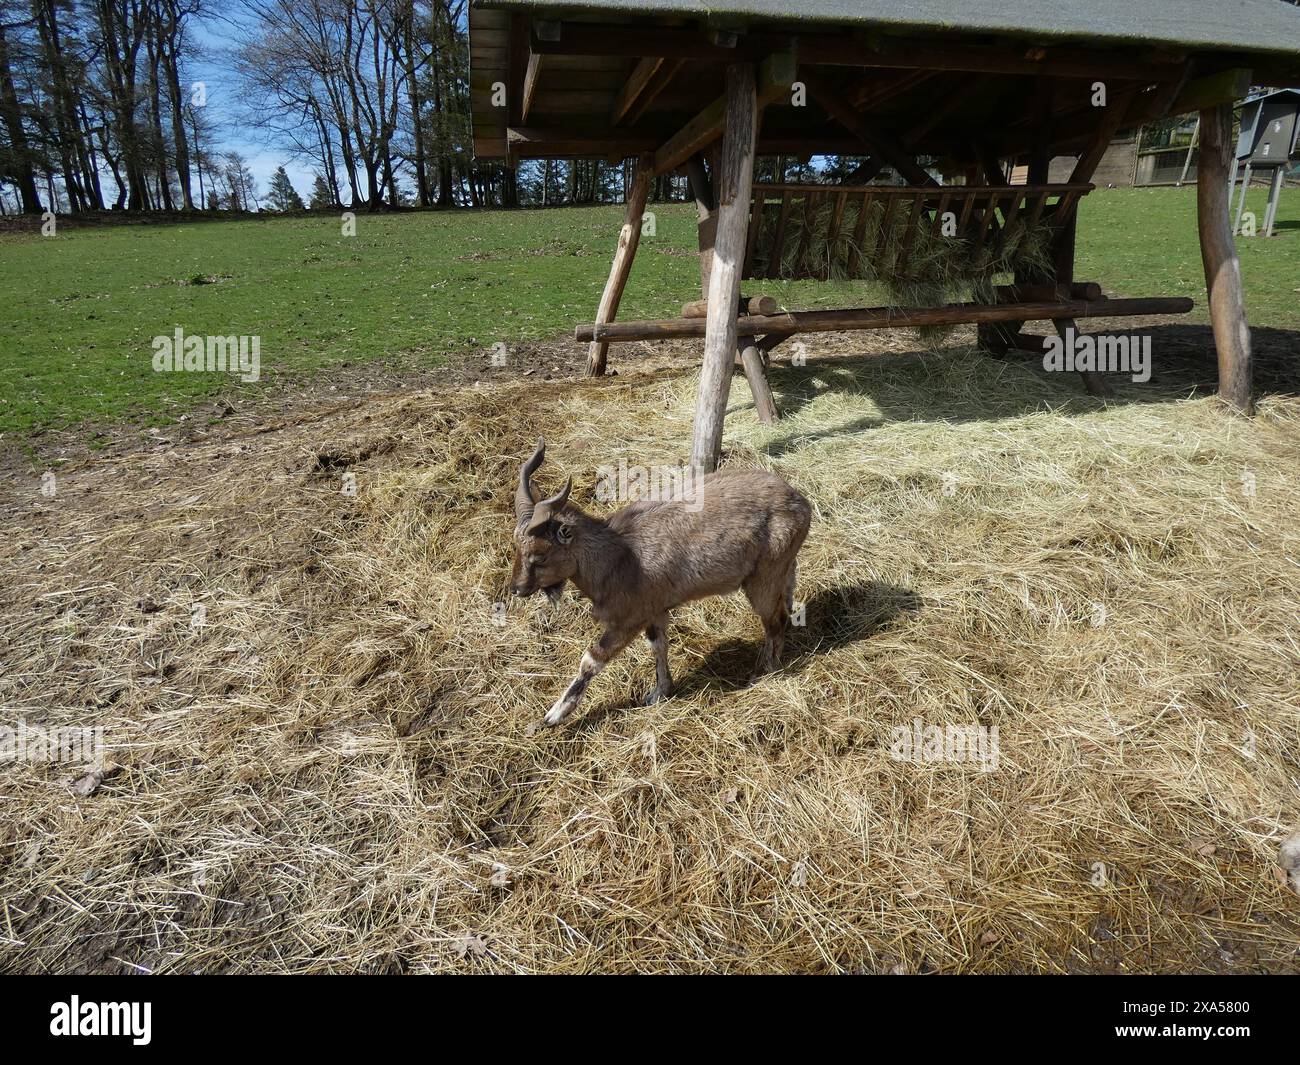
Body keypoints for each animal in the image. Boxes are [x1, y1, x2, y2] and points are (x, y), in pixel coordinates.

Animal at [510, 439, 811, 727]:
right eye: (516, 547)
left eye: (539, 556)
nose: (516, 588)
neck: (620, 558)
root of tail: (802, 503)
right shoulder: (655, 612)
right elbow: (658, 646)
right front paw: (659, 692)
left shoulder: (628, 619)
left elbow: (591, 660)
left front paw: (553, 716)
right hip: (783, 568)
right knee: (787, 597)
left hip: (763, 578)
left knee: (776, 620)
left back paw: (765, 671)